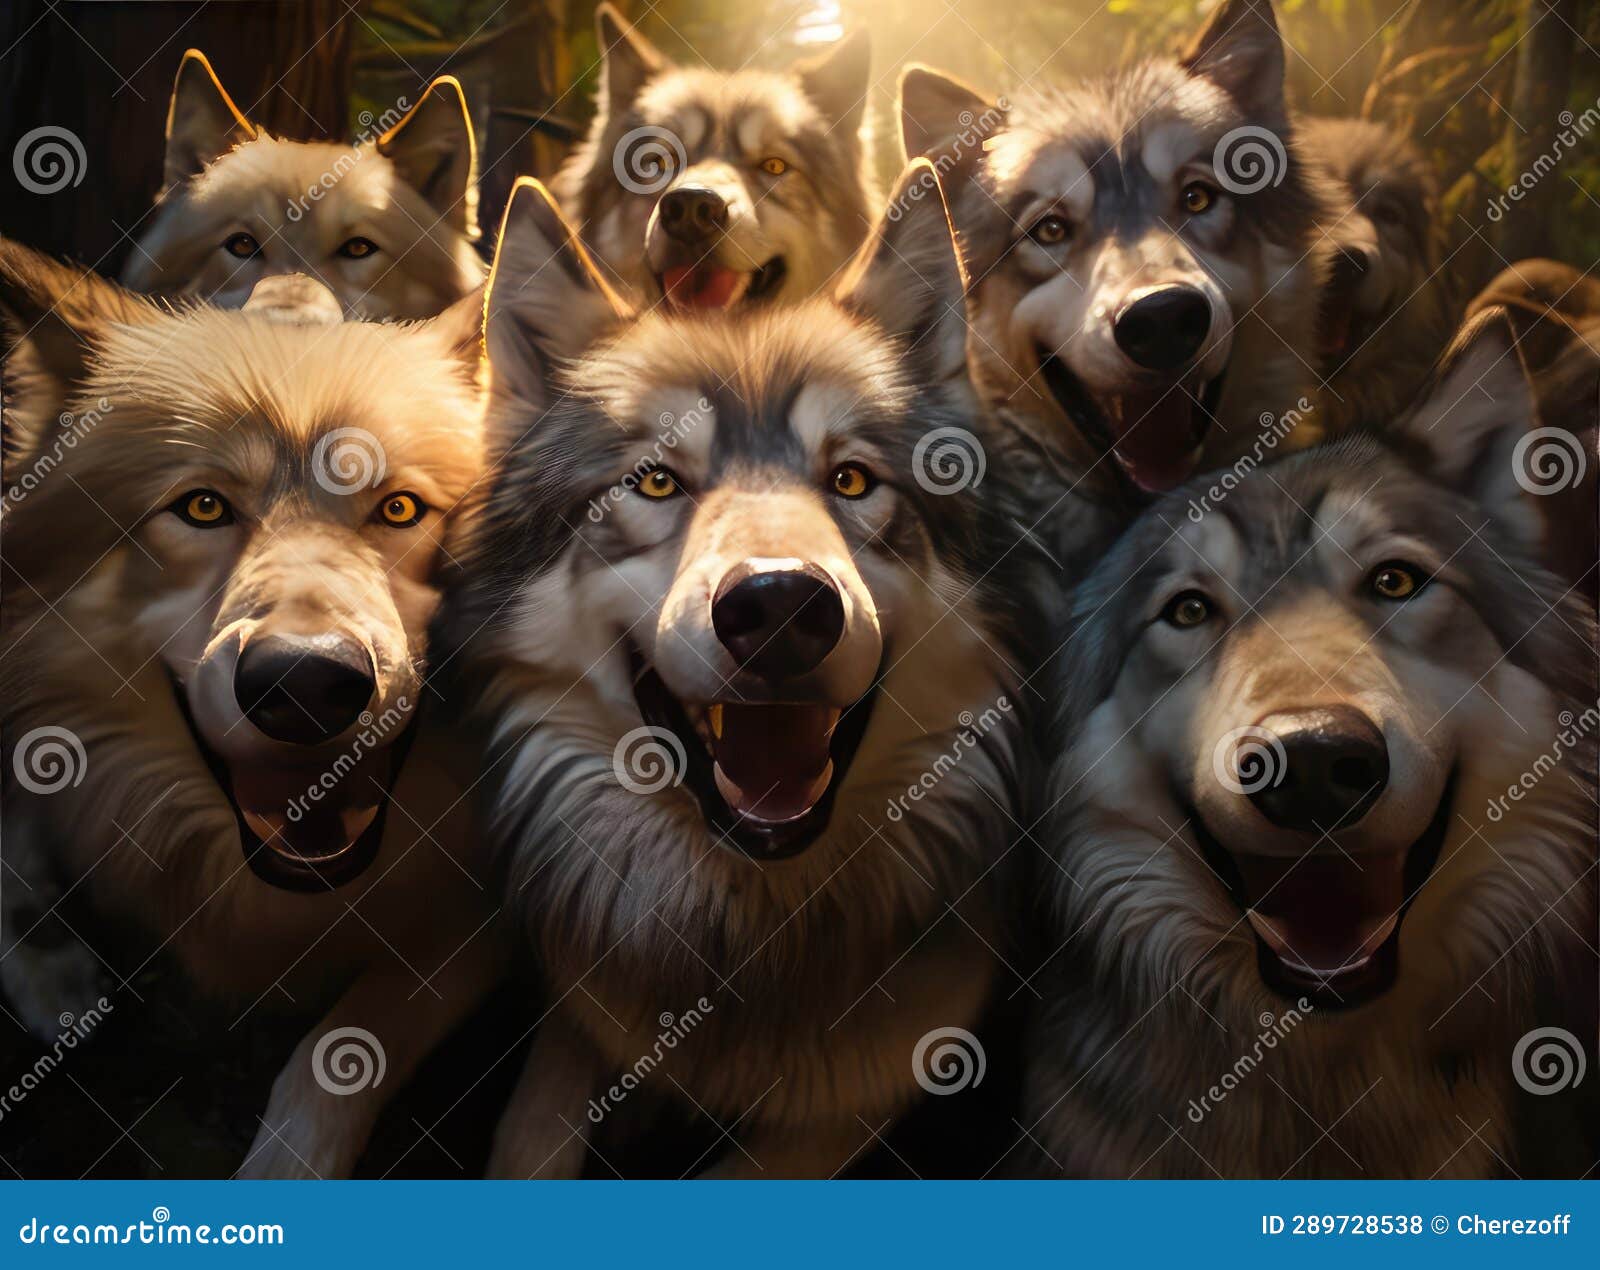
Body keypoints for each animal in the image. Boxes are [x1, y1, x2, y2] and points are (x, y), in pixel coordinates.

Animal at [436, 164, 1035, 1178]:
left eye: (852, 481)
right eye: (655, 481)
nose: (781, 605)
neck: (753, 937)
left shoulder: (861, 1101)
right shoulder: (579, 1020)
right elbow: (531, 1140)